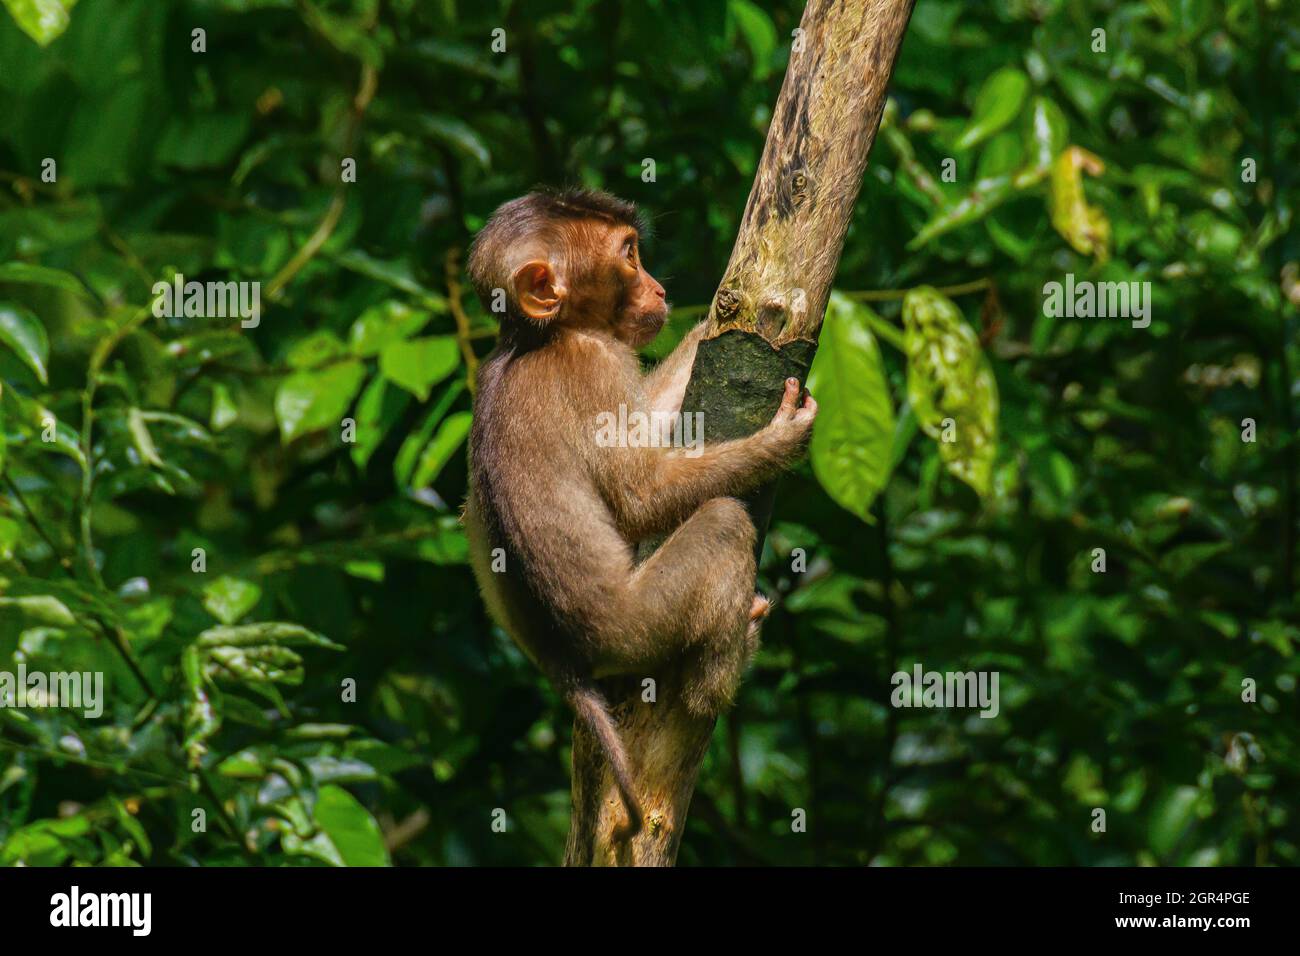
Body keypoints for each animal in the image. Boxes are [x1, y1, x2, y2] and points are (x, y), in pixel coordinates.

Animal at [462, 188, 816, 839]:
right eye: (629, 255)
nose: (658, 287)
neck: (537, 338)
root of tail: (566, 667)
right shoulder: (593, 364)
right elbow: (641, 495)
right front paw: (780, 440)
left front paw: (714, 318)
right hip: (639, 626)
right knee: (723, 524)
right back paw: (720, 676)